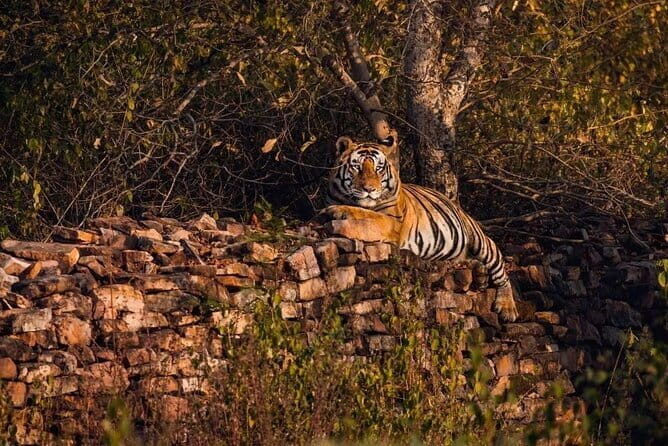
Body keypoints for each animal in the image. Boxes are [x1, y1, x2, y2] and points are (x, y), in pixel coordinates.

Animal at [318, 133, 518, 322]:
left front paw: (338, 214)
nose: (369, 189)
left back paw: (507, 308)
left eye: (378, 168)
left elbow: (367, 216)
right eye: (357, 167)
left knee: (501, 273)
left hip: (481, 241)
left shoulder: (392, 222)